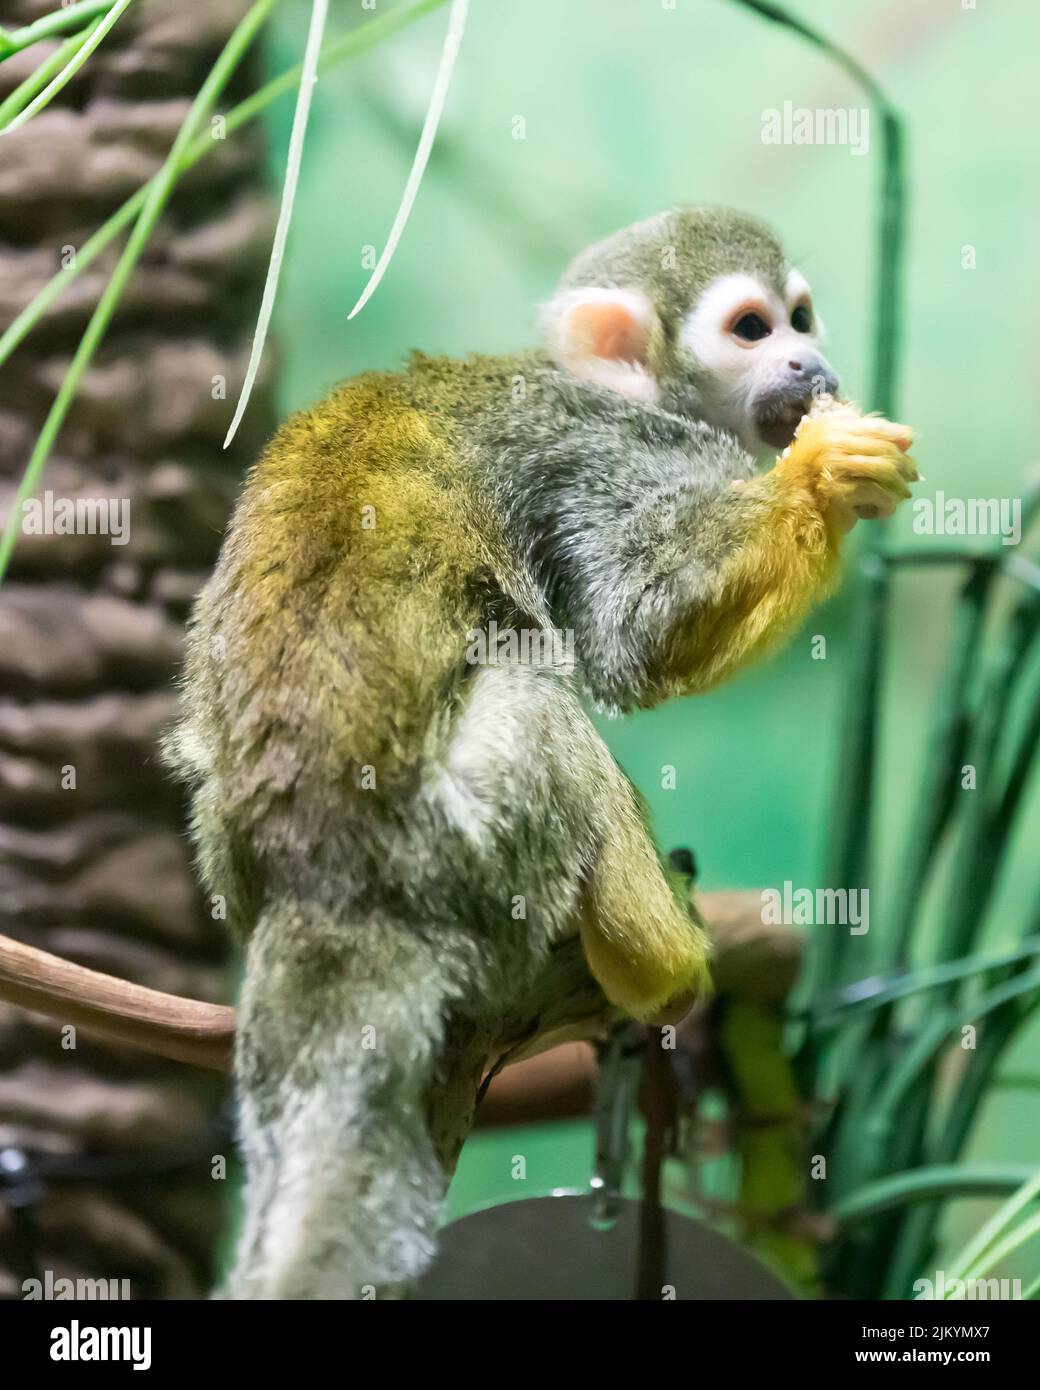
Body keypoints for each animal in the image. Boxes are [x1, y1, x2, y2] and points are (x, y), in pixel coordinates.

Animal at [164, 205, 916, 1299]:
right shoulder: (611, 452)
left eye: (801, 316)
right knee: (530, 688)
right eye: (750, 327)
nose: (808, 361)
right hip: (459, 848)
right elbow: (636, 632)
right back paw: (655, 953)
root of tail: (323, 875)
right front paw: (826, 473)